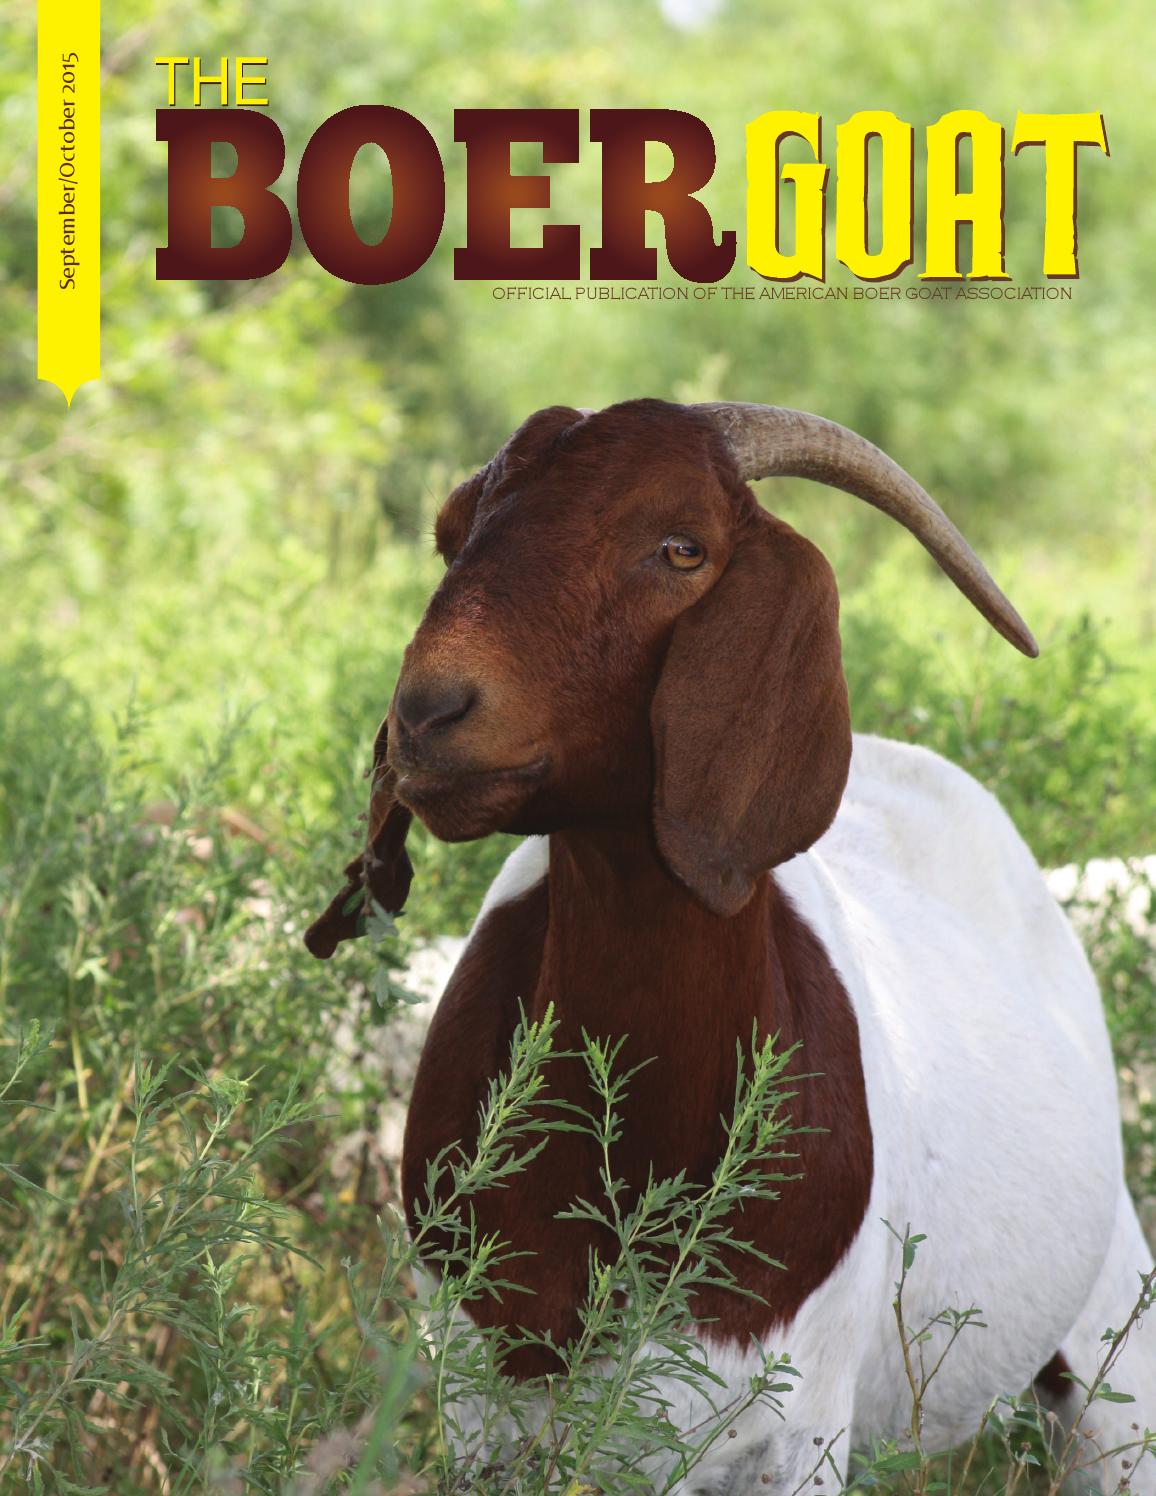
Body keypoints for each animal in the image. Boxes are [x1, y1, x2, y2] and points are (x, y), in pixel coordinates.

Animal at [306, 399, 1155, 1494]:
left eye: (683, 547)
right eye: (452, 535)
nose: (425, 714)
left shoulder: (795, 1430)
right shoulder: (479, 1409)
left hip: (1114, 1363)